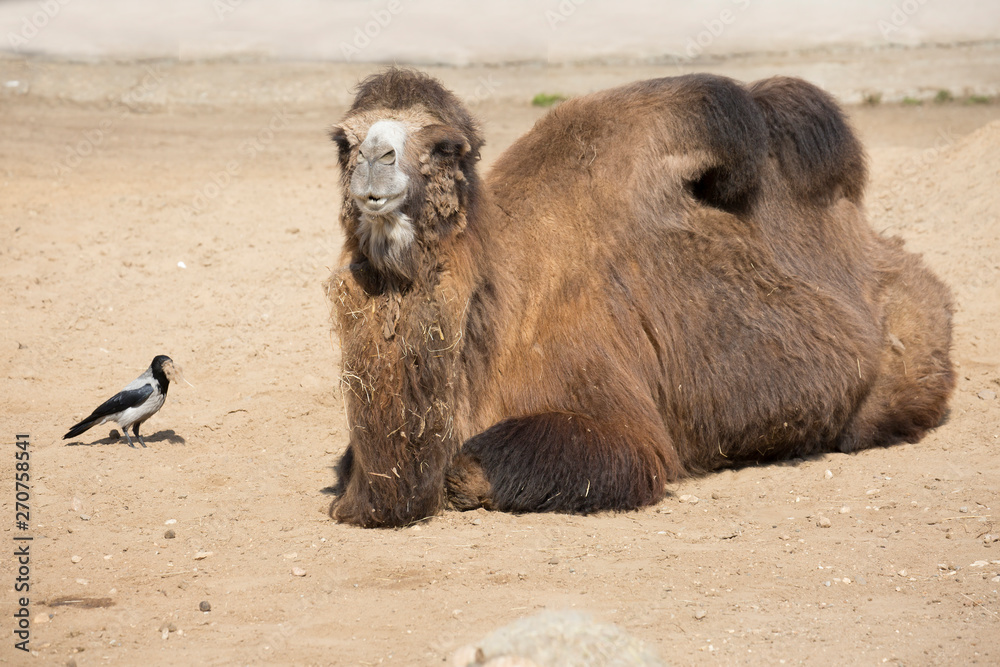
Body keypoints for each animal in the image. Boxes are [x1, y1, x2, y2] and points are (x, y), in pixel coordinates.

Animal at [325, 68, 954, 528]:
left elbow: (481, 468)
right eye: (342, 142)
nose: (374, 164)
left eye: (444, 146)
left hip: (906, 353)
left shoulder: (615, 418)